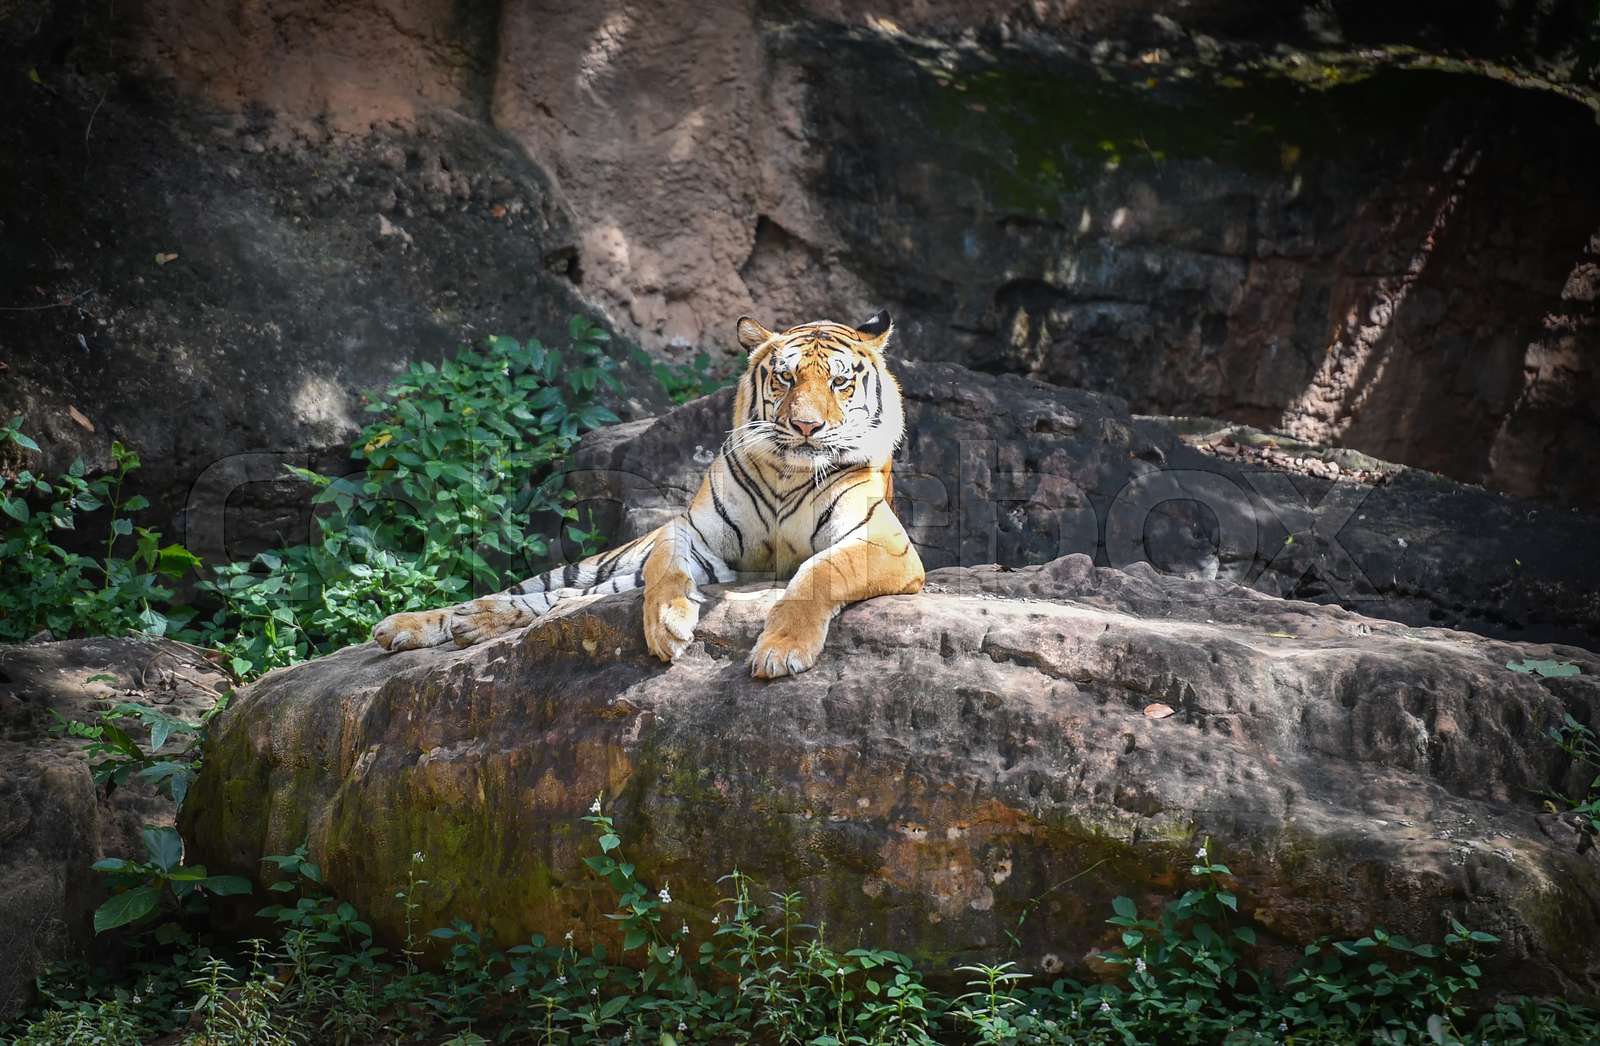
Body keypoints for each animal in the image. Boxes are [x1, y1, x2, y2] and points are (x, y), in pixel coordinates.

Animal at [371, 311, 925, 679]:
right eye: (786, 378)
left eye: (840, 384)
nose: (807, 427)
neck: (789, 472)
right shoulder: (691, 533)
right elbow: (665, 569)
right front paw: (666, 627)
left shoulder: (884, 542)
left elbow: (819, 570)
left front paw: (781, 650)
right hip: (591, 563)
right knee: (525, 591)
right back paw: (417, 624)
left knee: (559, 601)